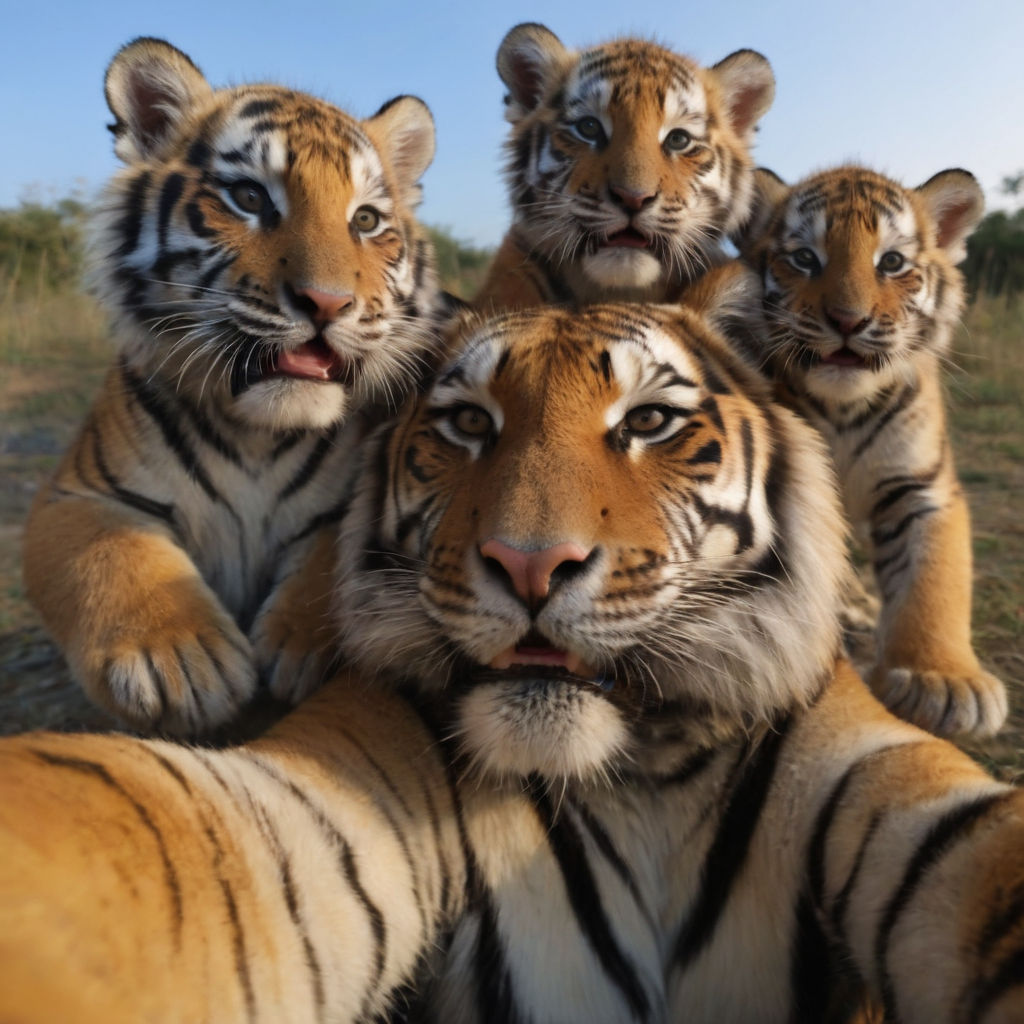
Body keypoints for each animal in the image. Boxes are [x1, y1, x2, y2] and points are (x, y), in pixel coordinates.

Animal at [22, 37, 450, 735]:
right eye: (249, 197)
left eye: (365, 219)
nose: (328, 303)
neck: (257, 432)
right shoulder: (76, 494)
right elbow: (110, 550)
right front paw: (176, 658)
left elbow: (329, 555)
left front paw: (305, 645)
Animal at [734, 163, 1007, 739]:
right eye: (804, 258)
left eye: (892, 263)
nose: (848, 321)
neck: (844, 410)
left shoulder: (921, 487)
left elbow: (934, 582)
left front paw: (945, 681)